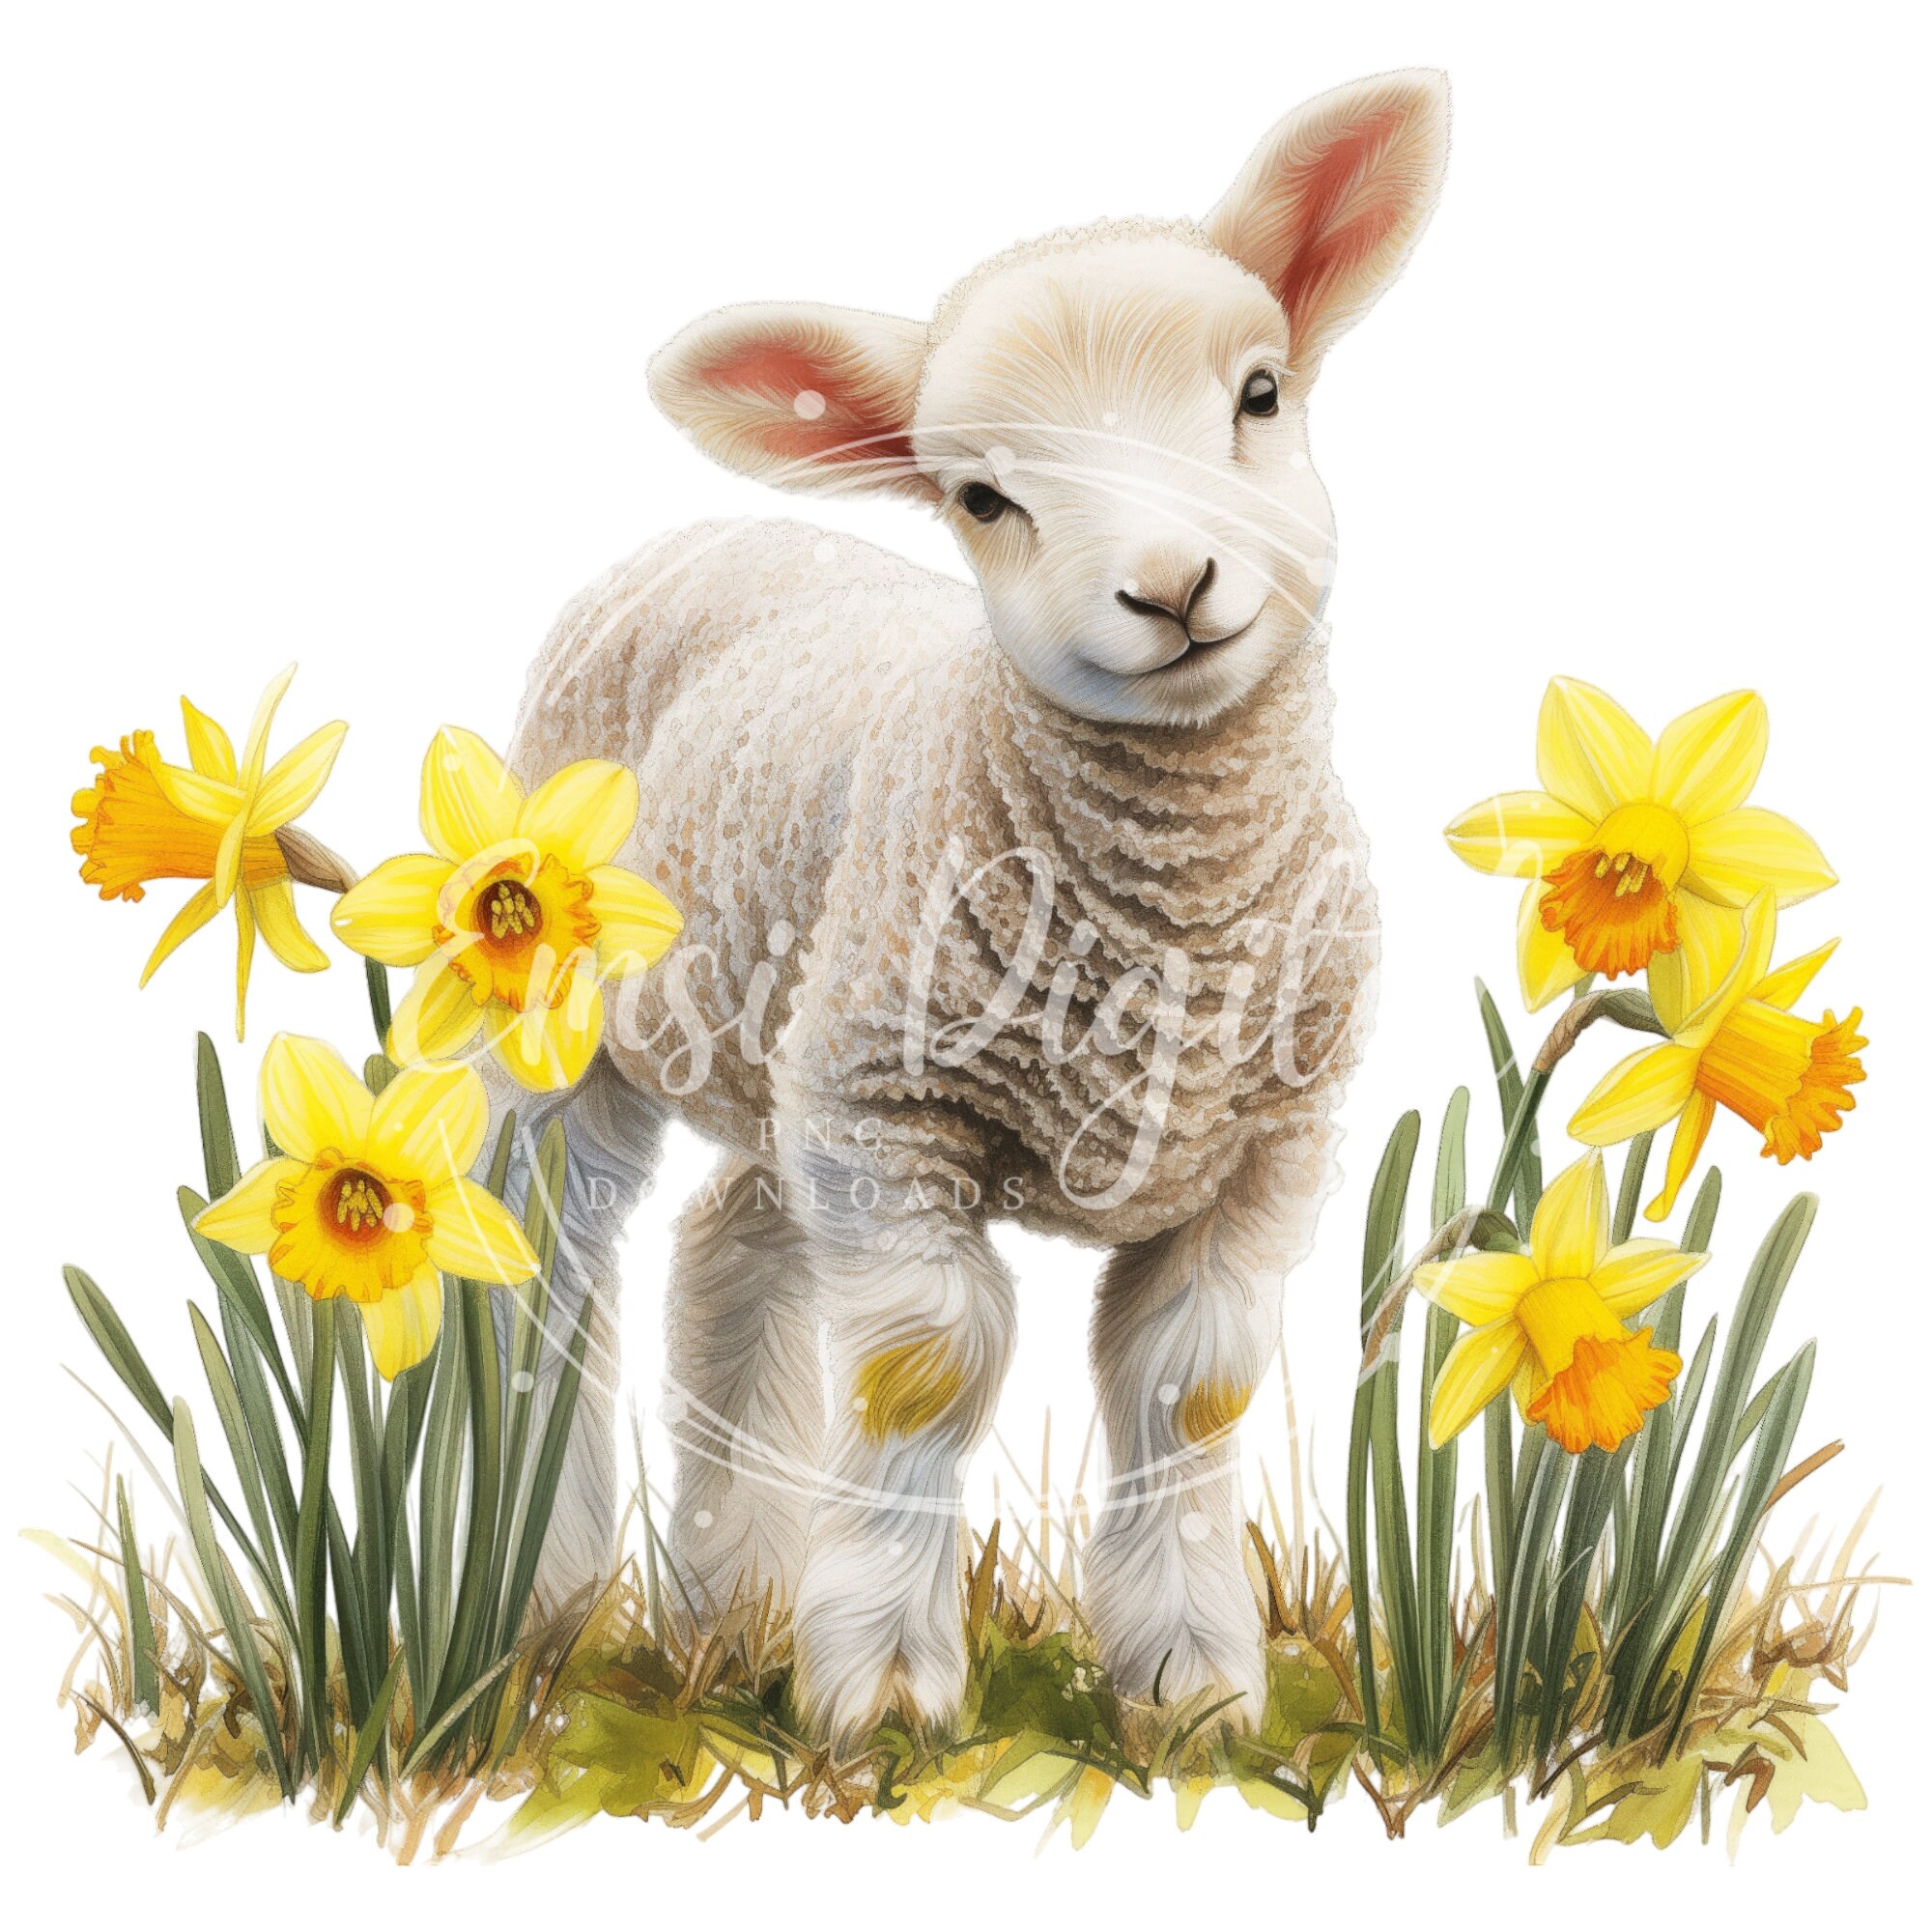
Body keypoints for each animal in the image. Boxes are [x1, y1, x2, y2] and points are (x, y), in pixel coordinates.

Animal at [498, 69, 1449, 1745]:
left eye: (1260, 395)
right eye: (985, 496)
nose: (1172, 585)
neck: (1168, 921)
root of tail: (712, 530)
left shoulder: (1263, 1141)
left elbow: (1190, 1383)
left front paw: (1194, 1688)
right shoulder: (896, 1116)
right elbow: (929, 1376)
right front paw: (882, 1692)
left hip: (797, 1044)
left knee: (732, 1248)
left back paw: (730, 1606)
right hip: (598, 1023)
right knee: (549, 1253)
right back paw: (542, 1601)